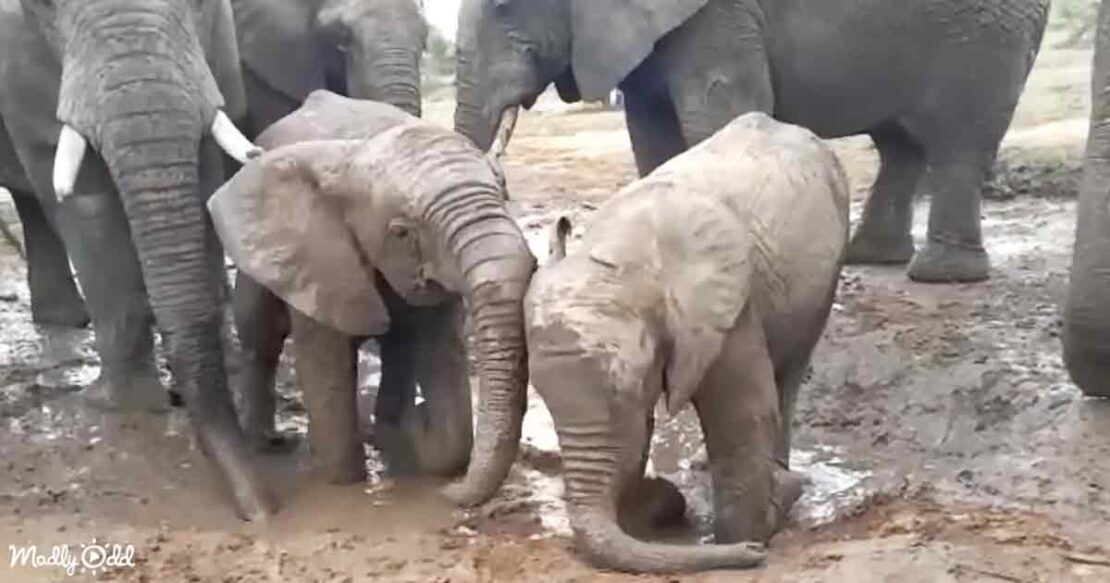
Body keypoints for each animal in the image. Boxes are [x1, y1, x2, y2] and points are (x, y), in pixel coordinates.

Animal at [0, 0, 273, 519]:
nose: (260, 512)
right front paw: (124, 404)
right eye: (42, 6)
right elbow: (85, 204)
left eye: (205, 2)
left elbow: (206, 171)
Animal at [208, 91, 536, 496]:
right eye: (401, 232)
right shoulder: (318, 253)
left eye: (503, 195)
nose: (450, 494)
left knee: (397, 346)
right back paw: (269, 442)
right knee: (261, 334)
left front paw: (411, 431)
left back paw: (387, 430)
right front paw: (345, 481)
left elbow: (437, 347)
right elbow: (326, 362)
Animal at [453, 0, 1050, 283]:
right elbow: (652, 134)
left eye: (505, 7)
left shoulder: (721, 14)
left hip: (984, 36)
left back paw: (941, 276)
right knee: (900, 145)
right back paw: (872, 257)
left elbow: (719, 114)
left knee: (957, 143)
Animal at [525, 113, 849, 572]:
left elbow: (743, 415)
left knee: (789, 375)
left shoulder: (731, 309)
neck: (621, 254)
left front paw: (760, 521)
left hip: (830, 266)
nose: (755, 556)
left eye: (629, 388)